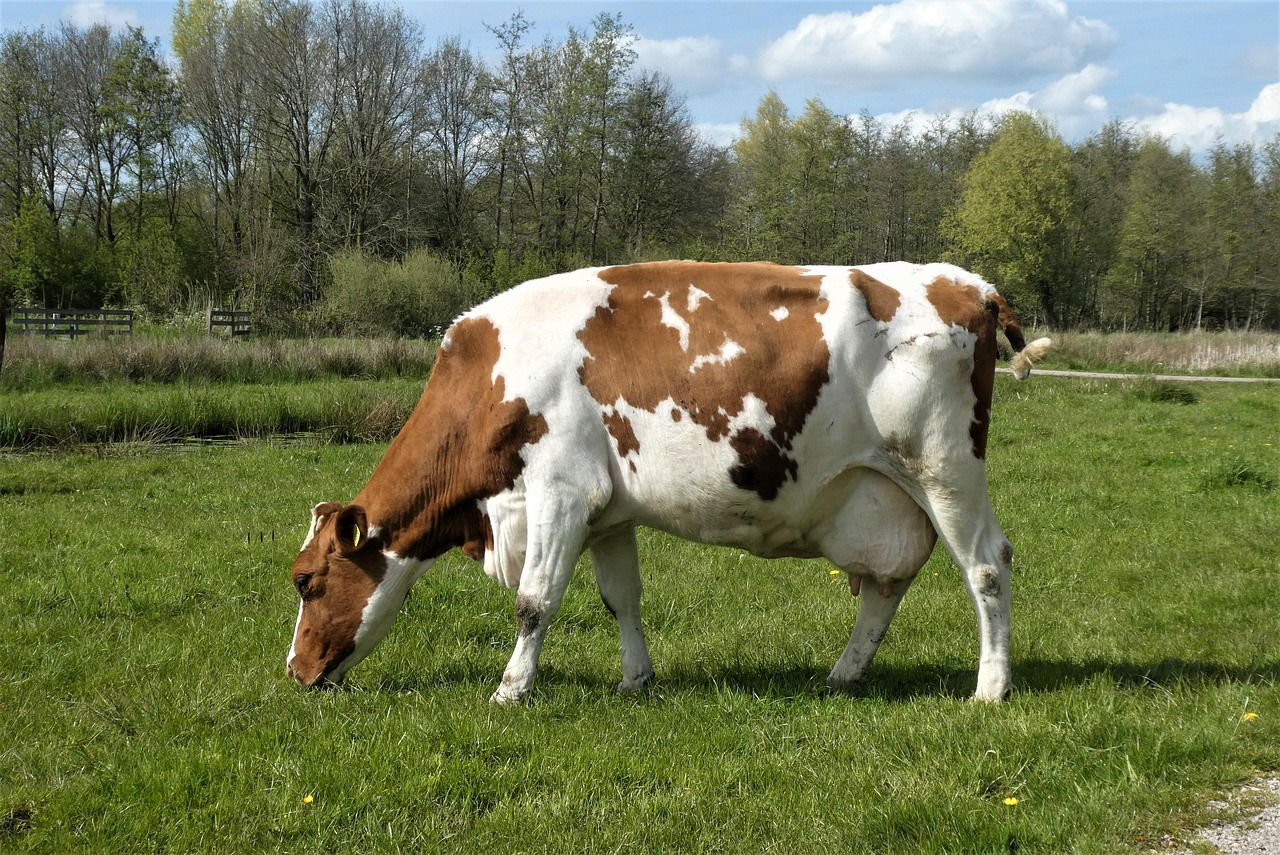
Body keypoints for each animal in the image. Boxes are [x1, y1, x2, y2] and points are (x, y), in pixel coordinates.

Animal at [286, 261, 1051, 703]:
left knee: (987, 565)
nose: (295, 670)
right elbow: (619, 597)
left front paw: (510, 691)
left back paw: (991, 687)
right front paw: (635, 678)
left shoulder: (560, 490)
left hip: (944, 468)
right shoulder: (606, 509)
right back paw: (844, 672)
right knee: (887, 583)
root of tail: (970, 283)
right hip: (886, 490)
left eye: (305, 580)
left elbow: (534, 601)